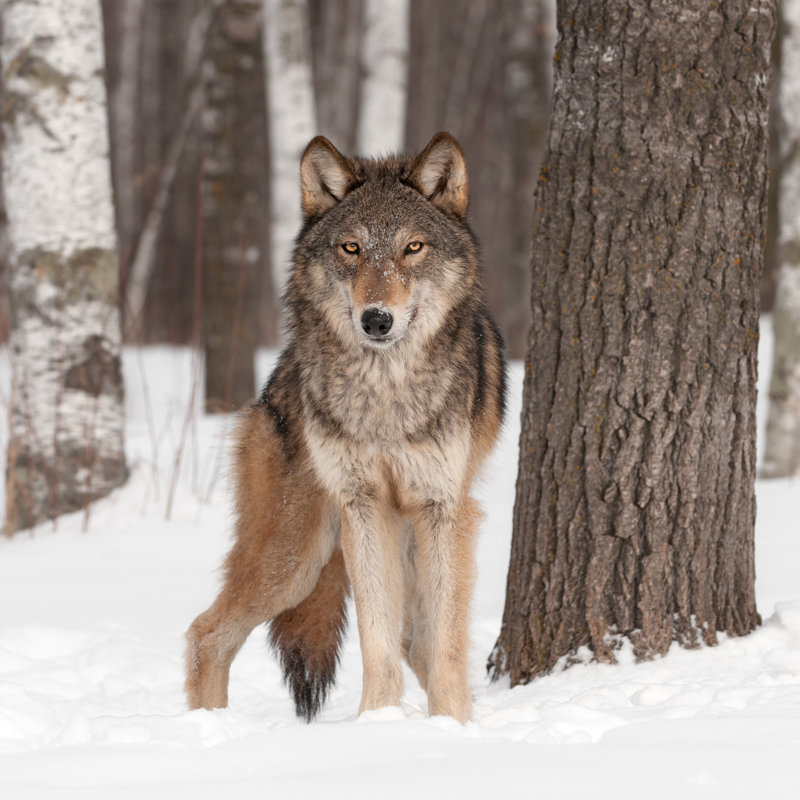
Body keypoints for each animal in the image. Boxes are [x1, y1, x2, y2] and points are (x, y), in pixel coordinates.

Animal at [185, 132, 506, 723]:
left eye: (412, 248)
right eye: (351, 248)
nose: (376, 319)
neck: (384, 394)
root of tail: (271, 384)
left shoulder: (443, 507)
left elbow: (444, 644)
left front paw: (449, 725)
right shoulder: (364, 506)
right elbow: (375, 640)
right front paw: (376, 722)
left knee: (418, 641)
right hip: (296, 559)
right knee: (206, 635)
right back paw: (203, 729)